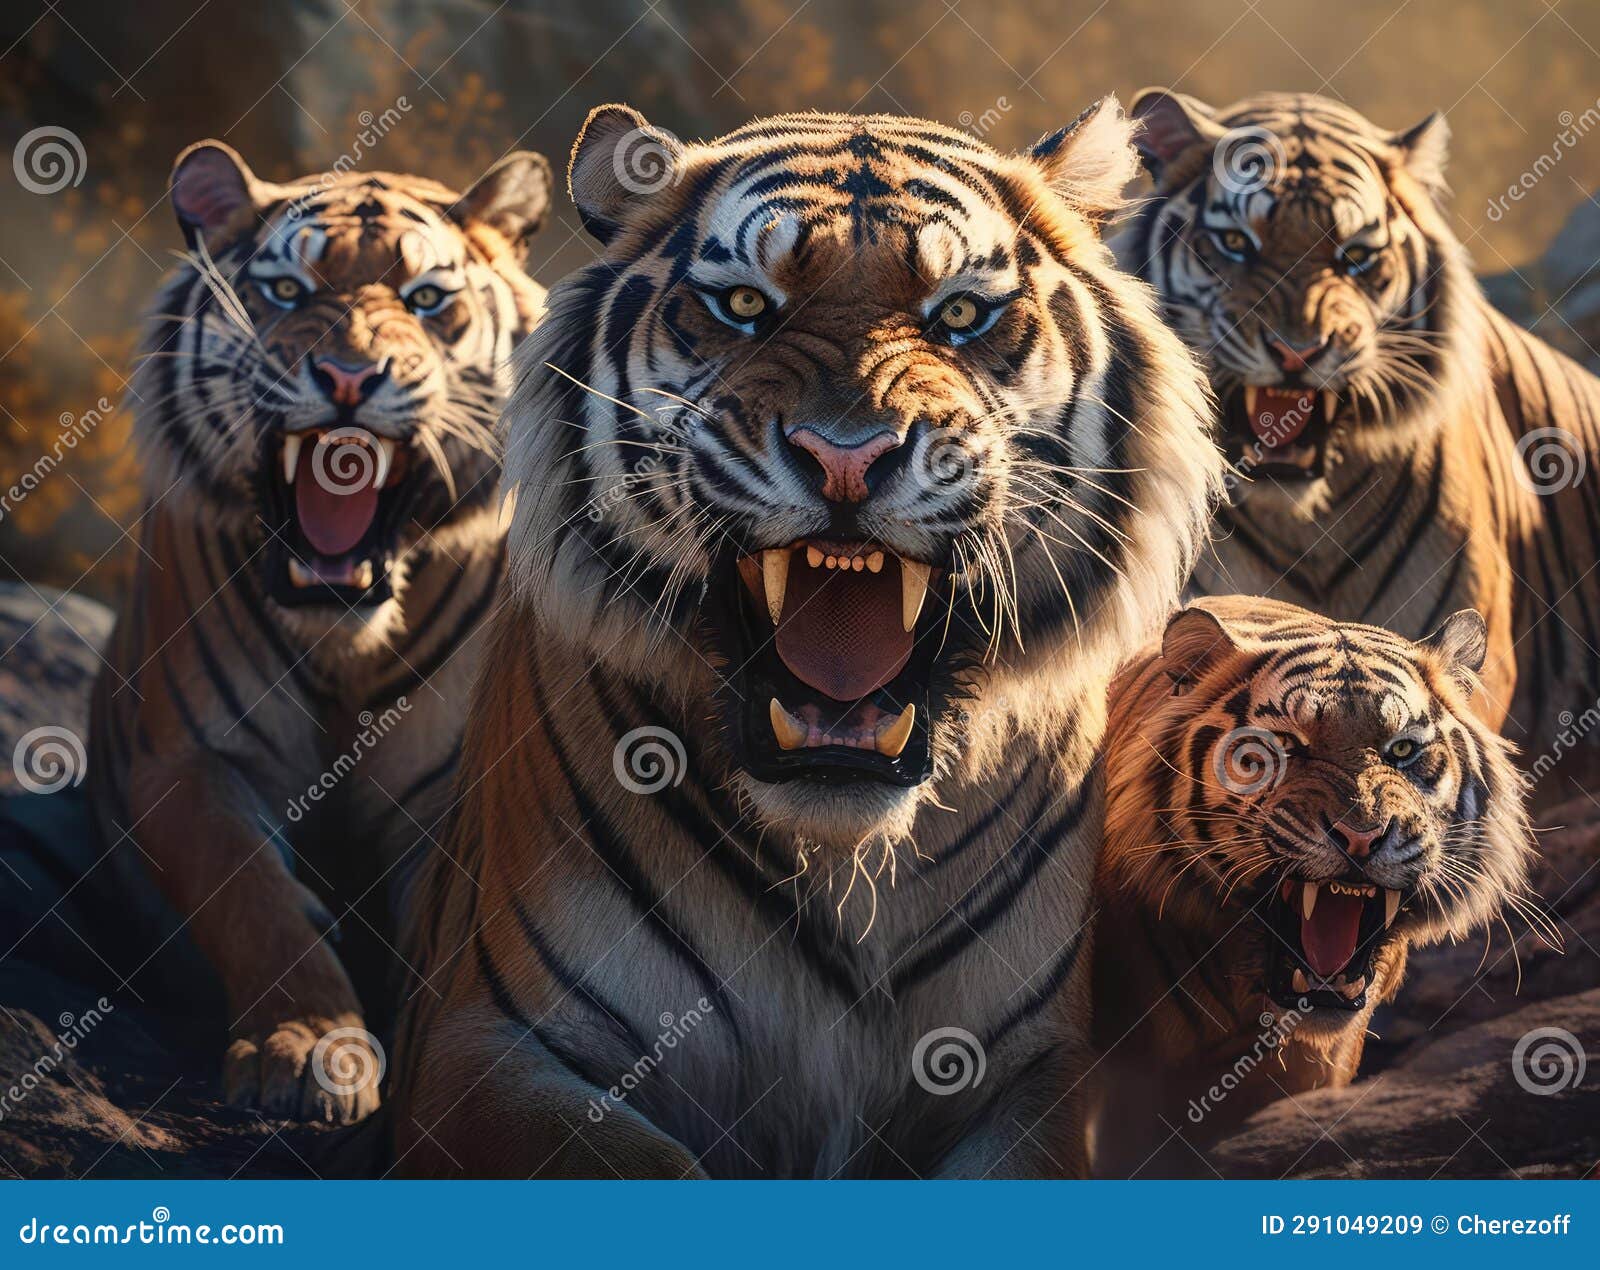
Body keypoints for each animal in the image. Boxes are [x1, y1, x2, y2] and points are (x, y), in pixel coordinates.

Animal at [86, 138, 549, 1123]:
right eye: (287, 290)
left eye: (427, 299)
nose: (346, 380)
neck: (345, 638)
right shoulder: (191, 760)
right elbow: (253, 900)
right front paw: (303, 1051)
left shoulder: (458, 790)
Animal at [387, 96, 1225, 1178]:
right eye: (746, 304)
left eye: (961, 314)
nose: (847, 458)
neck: (842, 861)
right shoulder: (487, 1046)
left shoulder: (1041, 1072)